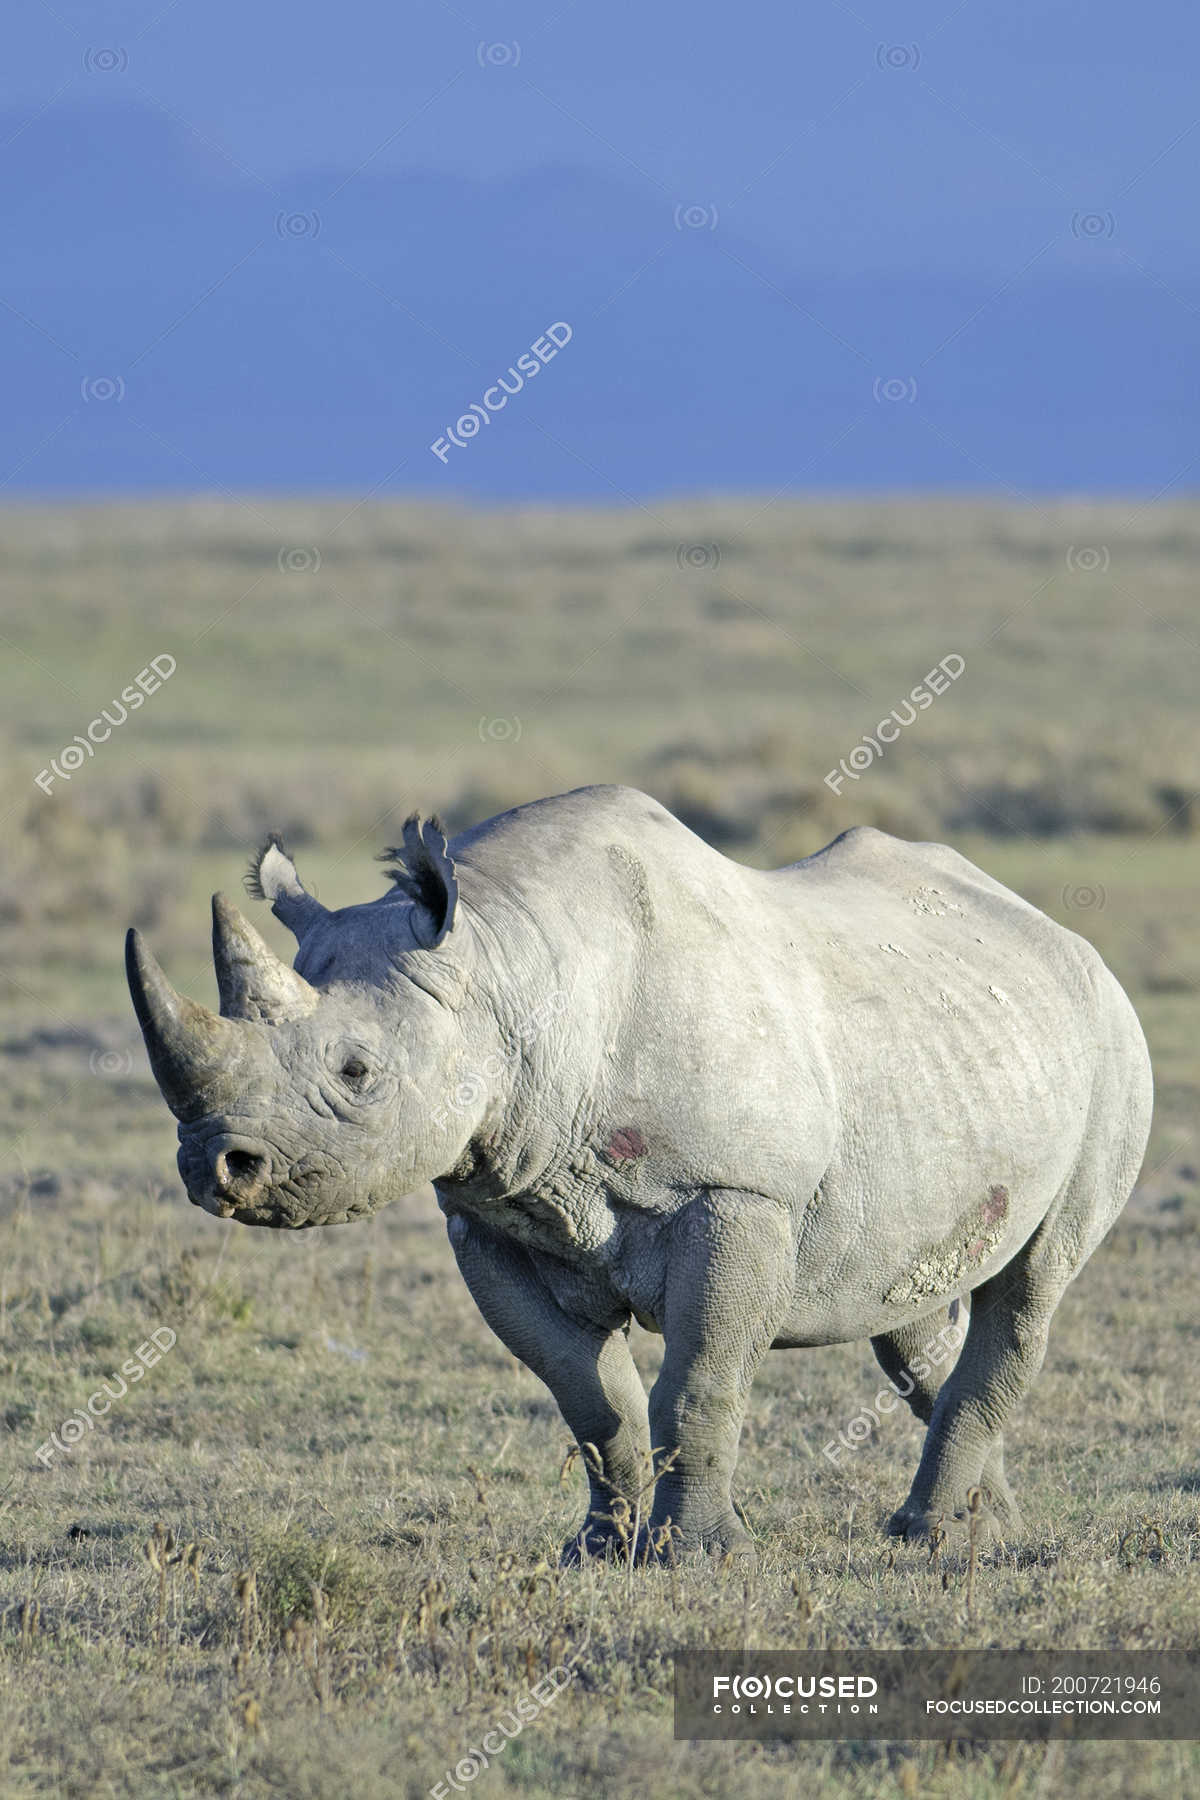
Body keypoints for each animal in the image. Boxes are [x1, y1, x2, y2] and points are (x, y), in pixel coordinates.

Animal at [126, 785, 1152, 1559]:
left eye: (355, 1072)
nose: (218, 1167)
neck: (502, 968)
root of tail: (1064, 938)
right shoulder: (494, 1212)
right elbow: (591, 1397)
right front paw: (595, 1552)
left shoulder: (738, 1194)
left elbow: (696, 1384)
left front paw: (697, 1556)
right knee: (912, 1315)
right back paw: (983, 1529)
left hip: (1110, 1040)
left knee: (1032, 1284)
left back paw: (932, 1537)